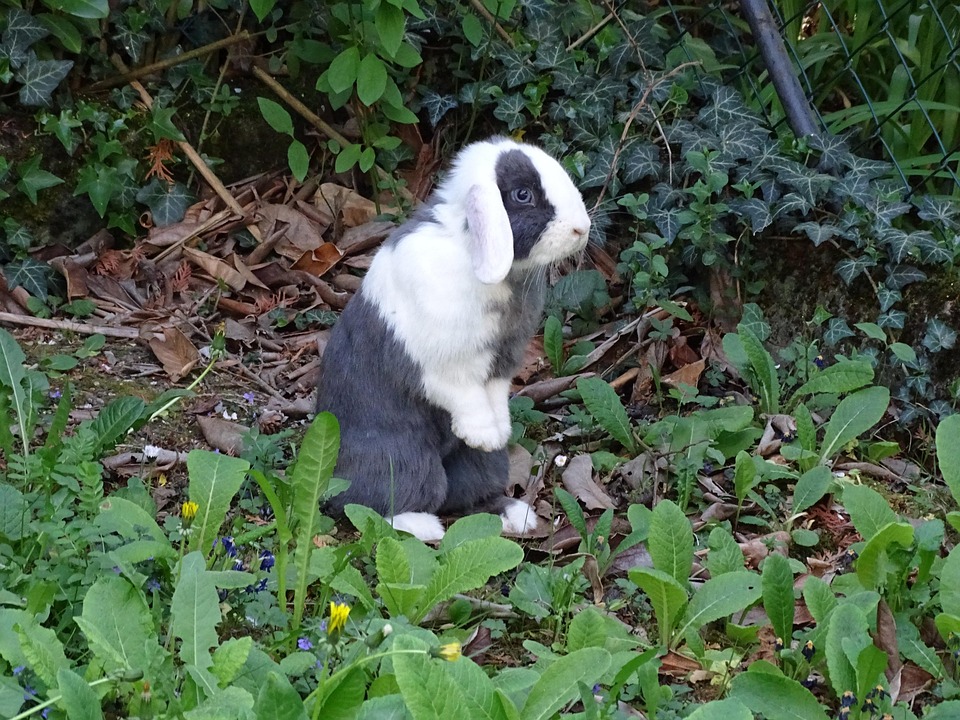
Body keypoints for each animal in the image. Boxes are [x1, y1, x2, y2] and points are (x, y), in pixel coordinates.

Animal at [315, 137, 591, 541]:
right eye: (522, 194)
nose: (581, 229)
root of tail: (333, 477)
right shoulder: (439, 366)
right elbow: (463, 393)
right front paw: (484, 434)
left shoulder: (502, 361)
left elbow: (493, 392)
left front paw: (499, 431)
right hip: (400, 457)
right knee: (374, 503)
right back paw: (423, 526)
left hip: (477, 467)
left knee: (464, 494)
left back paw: (514, 514)